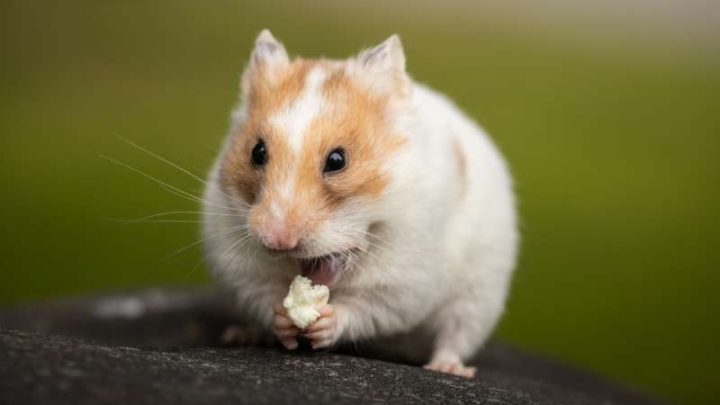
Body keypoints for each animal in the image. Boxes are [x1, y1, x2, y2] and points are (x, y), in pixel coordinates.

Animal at [202, 30, 518, 378]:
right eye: (257, 152)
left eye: (337, 160)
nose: (278, 241)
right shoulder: (242, 268)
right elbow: (266, 296)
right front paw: (284, 318)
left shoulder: (401, 284)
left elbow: (362, 308)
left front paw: (323, 322)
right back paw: (242, 334)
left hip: (478, 295)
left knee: (455, 334)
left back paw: (447, 368)